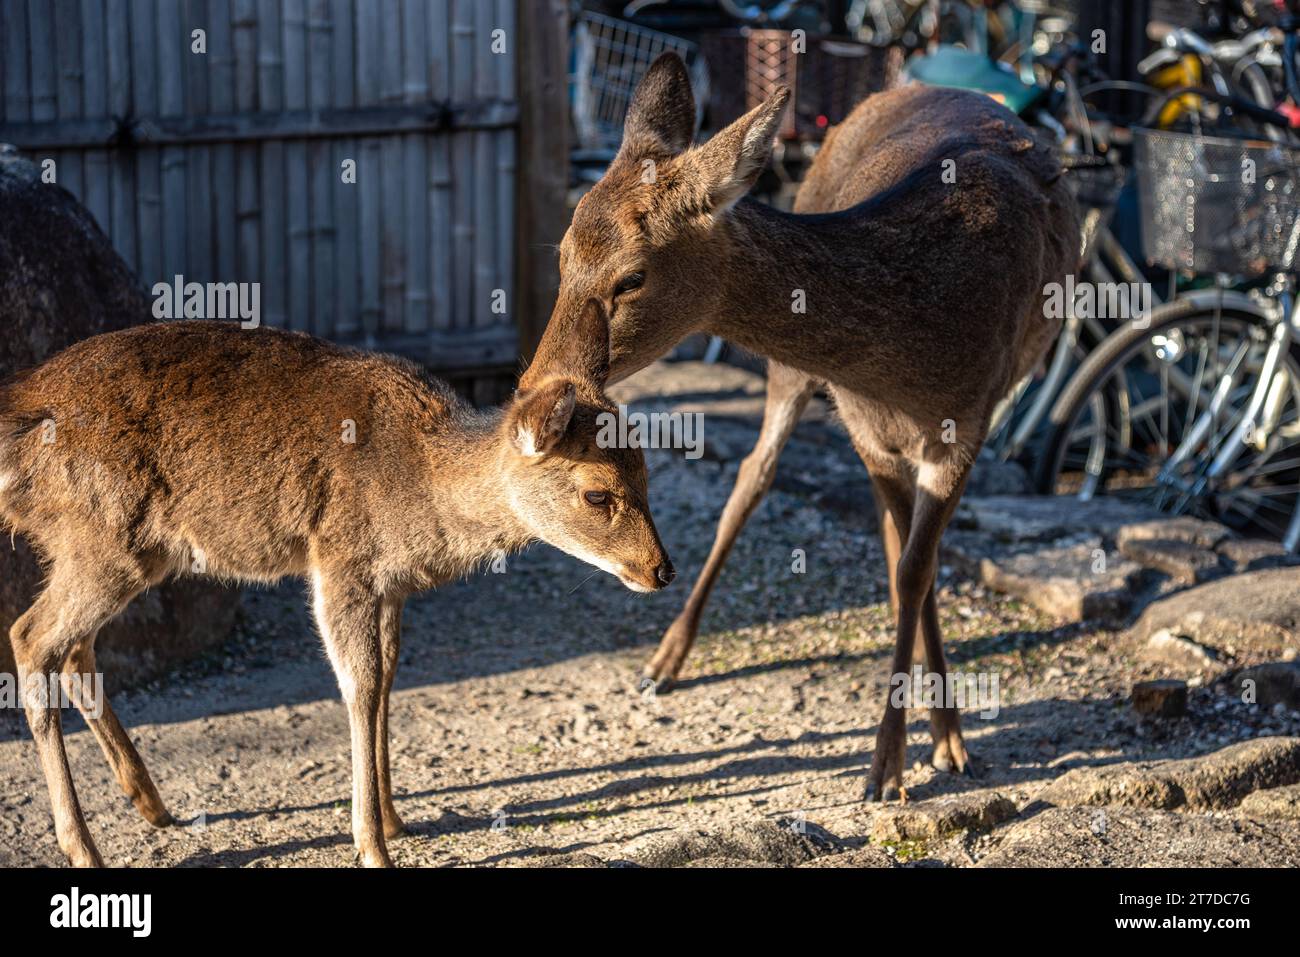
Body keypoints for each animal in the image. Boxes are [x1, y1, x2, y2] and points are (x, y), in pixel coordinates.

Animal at [0, 307, 672, 868]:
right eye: (597, 493)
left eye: (645, 468)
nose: (660, 569)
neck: (422, 494)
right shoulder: (340, 560)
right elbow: (361, 684)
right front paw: (372, 846)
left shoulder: (390, 584)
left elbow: (389, 675)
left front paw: (396, 818)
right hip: (103, 538)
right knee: (31, 636)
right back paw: (84, 849)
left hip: (107, 551)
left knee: (75, 648)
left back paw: (149, 802)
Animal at [524, 54, 1079, 800]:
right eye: (561, 254)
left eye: (631, 277)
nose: (536, 389)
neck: (909, 351)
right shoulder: (865, 427)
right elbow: (907, 560)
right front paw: (908, 754)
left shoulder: (972, 418)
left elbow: (916, 569)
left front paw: (903, 761)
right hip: (793, 375)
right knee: (754, 480)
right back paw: (662, 663)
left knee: (902, 546)